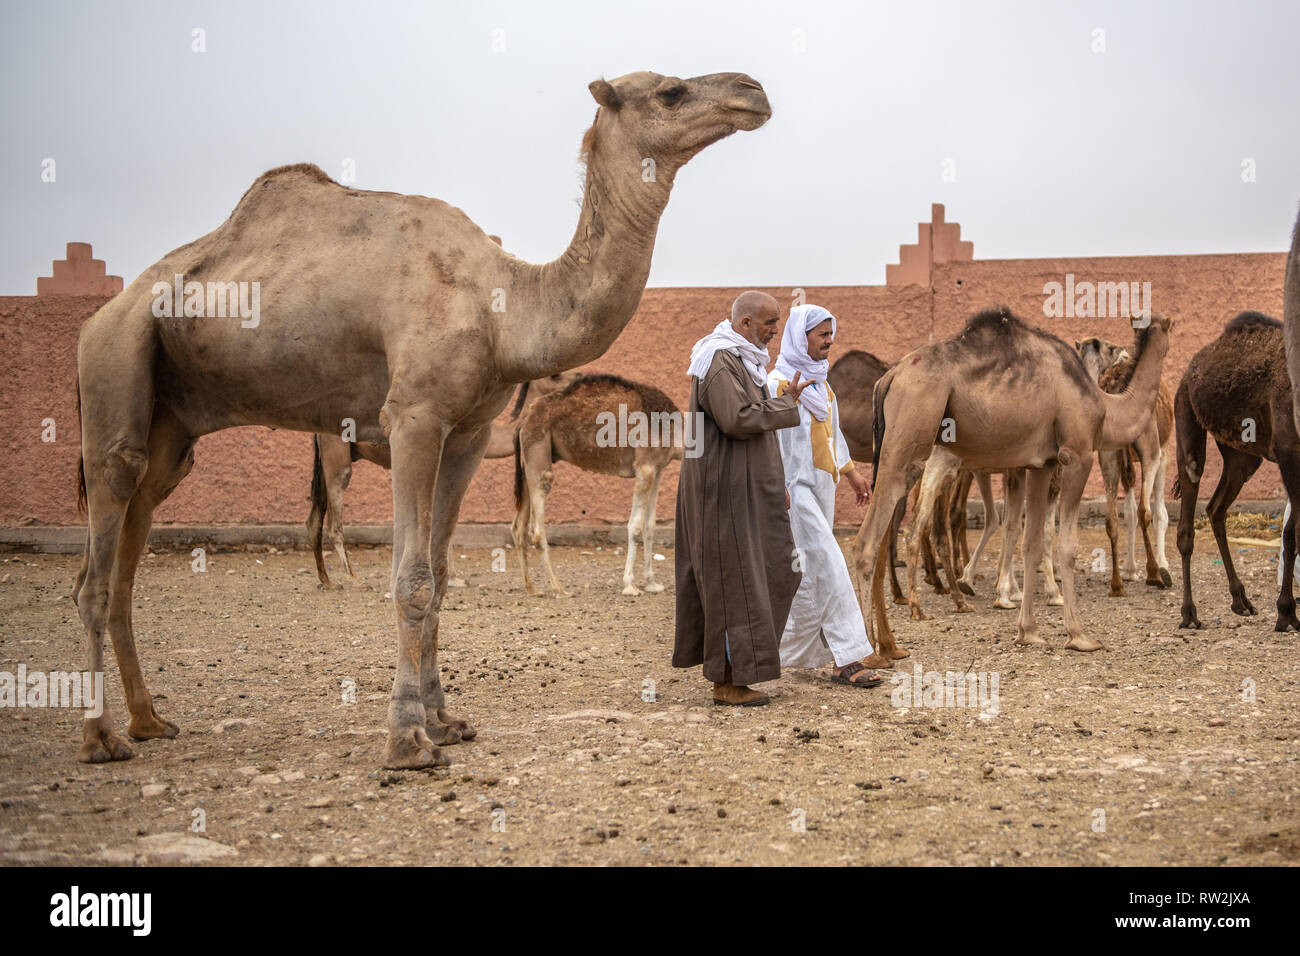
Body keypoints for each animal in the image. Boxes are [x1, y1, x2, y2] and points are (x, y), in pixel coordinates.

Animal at [307, 371, 580, 589]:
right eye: (555, 376)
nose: (578, 377)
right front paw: (453, 578)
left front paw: (451, 575)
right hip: (338, 456)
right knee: (334, 520)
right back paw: (354, 580)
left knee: (314, 518)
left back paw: (327, 581)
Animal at [512, 374, 682, 597]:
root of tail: (522, 423)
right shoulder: (645, 467)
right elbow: (635, 526)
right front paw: (630, 586)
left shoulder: (657, 468)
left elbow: (650, 526)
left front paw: (652, 584)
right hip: (538, 451)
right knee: (537, 528)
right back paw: (560, 589)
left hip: (527, 464)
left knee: (518, 528)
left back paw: (532, 588)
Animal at [853, 306, 1171, 658]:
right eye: (1111, 347)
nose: (1126, 351)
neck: (1105, 405)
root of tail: (888, 378)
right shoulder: (1077, 455)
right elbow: (1066, 545)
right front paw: (1078, 635)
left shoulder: (1041, 464)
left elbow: (1030, 541)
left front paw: (1027, 631)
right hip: (910, 438)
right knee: (868, 541)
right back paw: (871, 654)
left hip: (898, 452)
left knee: (888, 536)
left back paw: (891, 645)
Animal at [1173, 311, 1300, 632]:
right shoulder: (1290, 453)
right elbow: (1294, 533)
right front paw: (1286, 613)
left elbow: (1289, 533)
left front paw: (1286, 612)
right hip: (1186, 419)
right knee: (1186, 526)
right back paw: (1189, 613)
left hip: (1242, 457)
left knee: (1216, 508)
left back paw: (1240, 600)